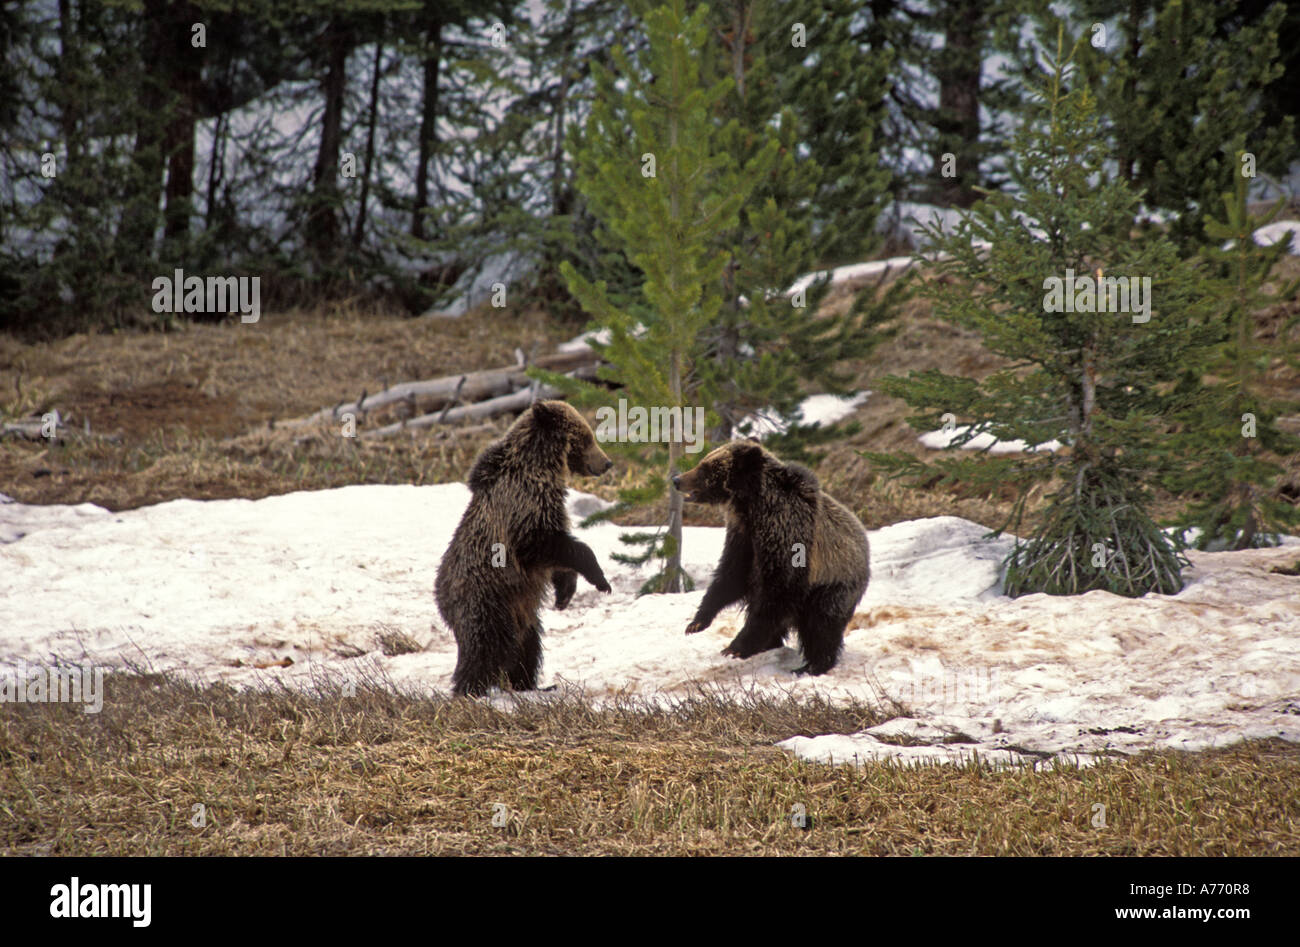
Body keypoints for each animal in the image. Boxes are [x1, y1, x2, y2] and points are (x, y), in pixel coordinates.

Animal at [435, 400, 613, 696]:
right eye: (587, 437)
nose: (607, 463)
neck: (544, 468)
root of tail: (442, 603)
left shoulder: (552, 508)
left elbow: (559, 555)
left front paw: (565, 594)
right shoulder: (525, 506)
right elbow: (549, 545)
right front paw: (601, 580)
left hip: (520, 613)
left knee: (528, 646)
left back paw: (532, 685)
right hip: (487, 601)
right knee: (486, 648)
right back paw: (471, 689)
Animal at [671, 440, 870, 676]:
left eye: (705, 467)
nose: (677, 480)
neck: (753, 508)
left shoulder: (787, 540)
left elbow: (774, 596)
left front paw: (735, 647)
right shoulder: (744, 539)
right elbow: (729, 577)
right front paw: (696, 622)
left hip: (831, 586)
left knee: (821, 625)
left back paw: (811, 665)